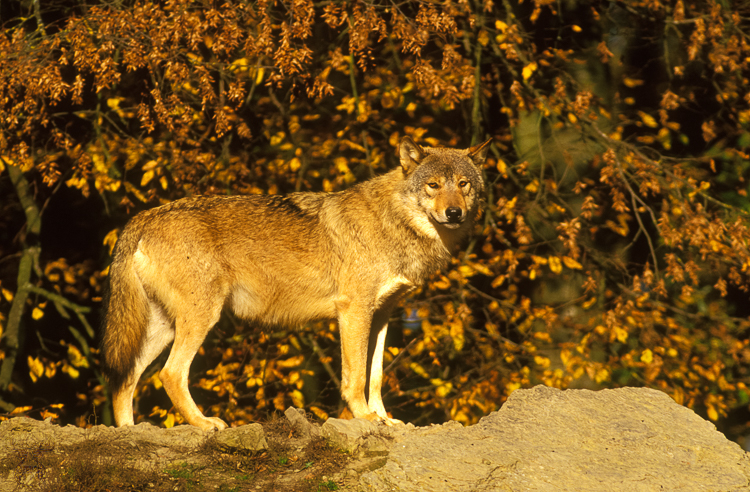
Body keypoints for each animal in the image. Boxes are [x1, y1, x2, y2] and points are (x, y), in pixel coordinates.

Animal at [100, 136, 491, 430]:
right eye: (433, 186)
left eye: (464, 185)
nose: (453, 213)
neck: (394, 223)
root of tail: (143, 216)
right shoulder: (353, 310)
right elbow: (355, 377)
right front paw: (365, 418)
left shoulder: (381, 316)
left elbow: (376, 375)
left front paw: (385, 419)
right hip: (200, 318)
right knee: (170, 374)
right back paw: (204, 423)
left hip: (163, 326)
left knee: (125, 379)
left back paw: (128, 432)